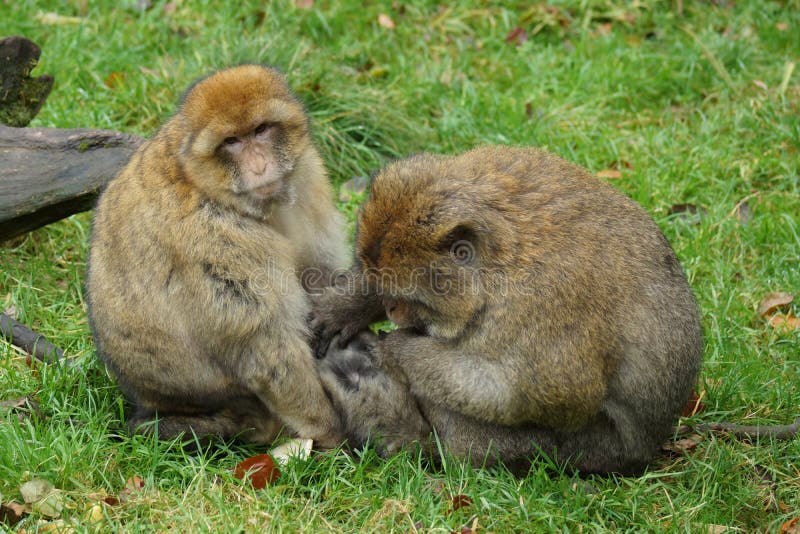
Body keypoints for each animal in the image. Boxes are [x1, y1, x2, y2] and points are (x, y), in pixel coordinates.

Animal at [86, 65, 349, 448]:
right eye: (232, 142)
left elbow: (319, 275)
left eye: (261, 130)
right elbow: (265, 348)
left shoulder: (308, 175)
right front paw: (333, 433)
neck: (205, 183)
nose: (259, 165)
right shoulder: (213, 237)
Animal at [311, 145, 704, 475]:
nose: (392, 309)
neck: (499, 264)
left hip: (590, 449)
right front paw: (347, 308)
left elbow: (549, 393)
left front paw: (397, 350)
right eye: (384, 285)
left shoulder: (540, 302)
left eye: (411, 298)